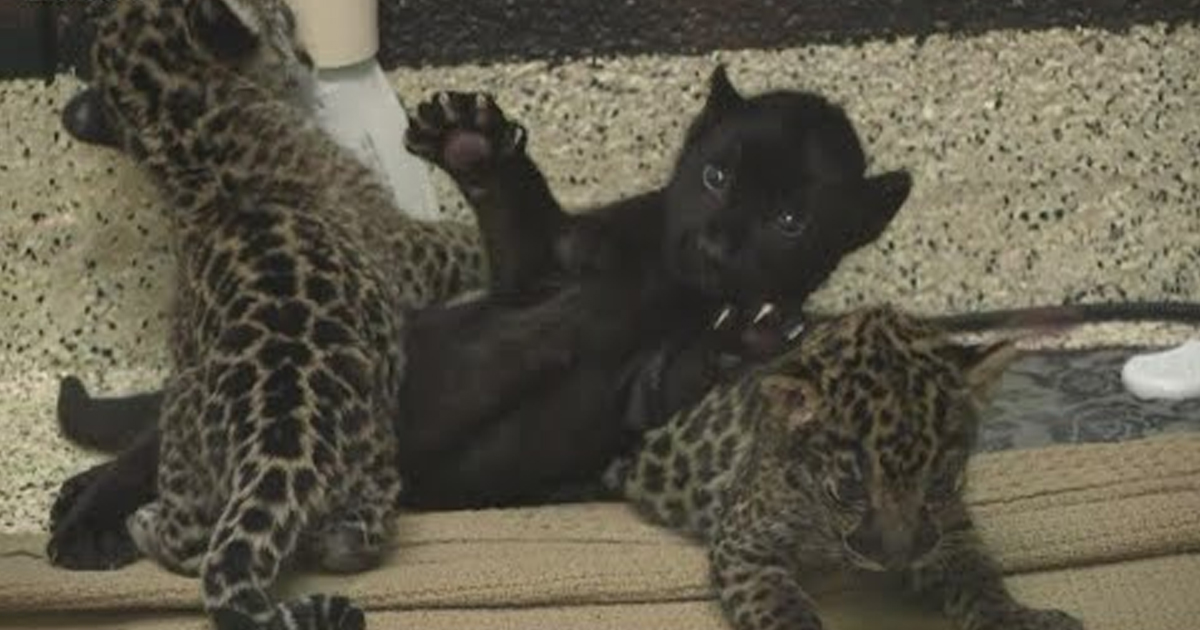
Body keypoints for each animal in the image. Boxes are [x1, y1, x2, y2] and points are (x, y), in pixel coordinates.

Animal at [46, 1, 507, 628]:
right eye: (282, 14)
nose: (303, 39)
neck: (186, 129)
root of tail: (277, 446)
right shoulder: (404, 249)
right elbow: (458, 240)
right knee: (206, 542)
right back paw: (143, 523)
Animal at [609, 305, 1084, 630]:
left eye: (940, 482)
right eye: (851, 489)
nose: (897, 563)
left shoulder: (951, 531)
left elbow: (981, 579)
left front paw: (1018, 617)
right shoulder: (743, 542)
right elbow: (782, 608)